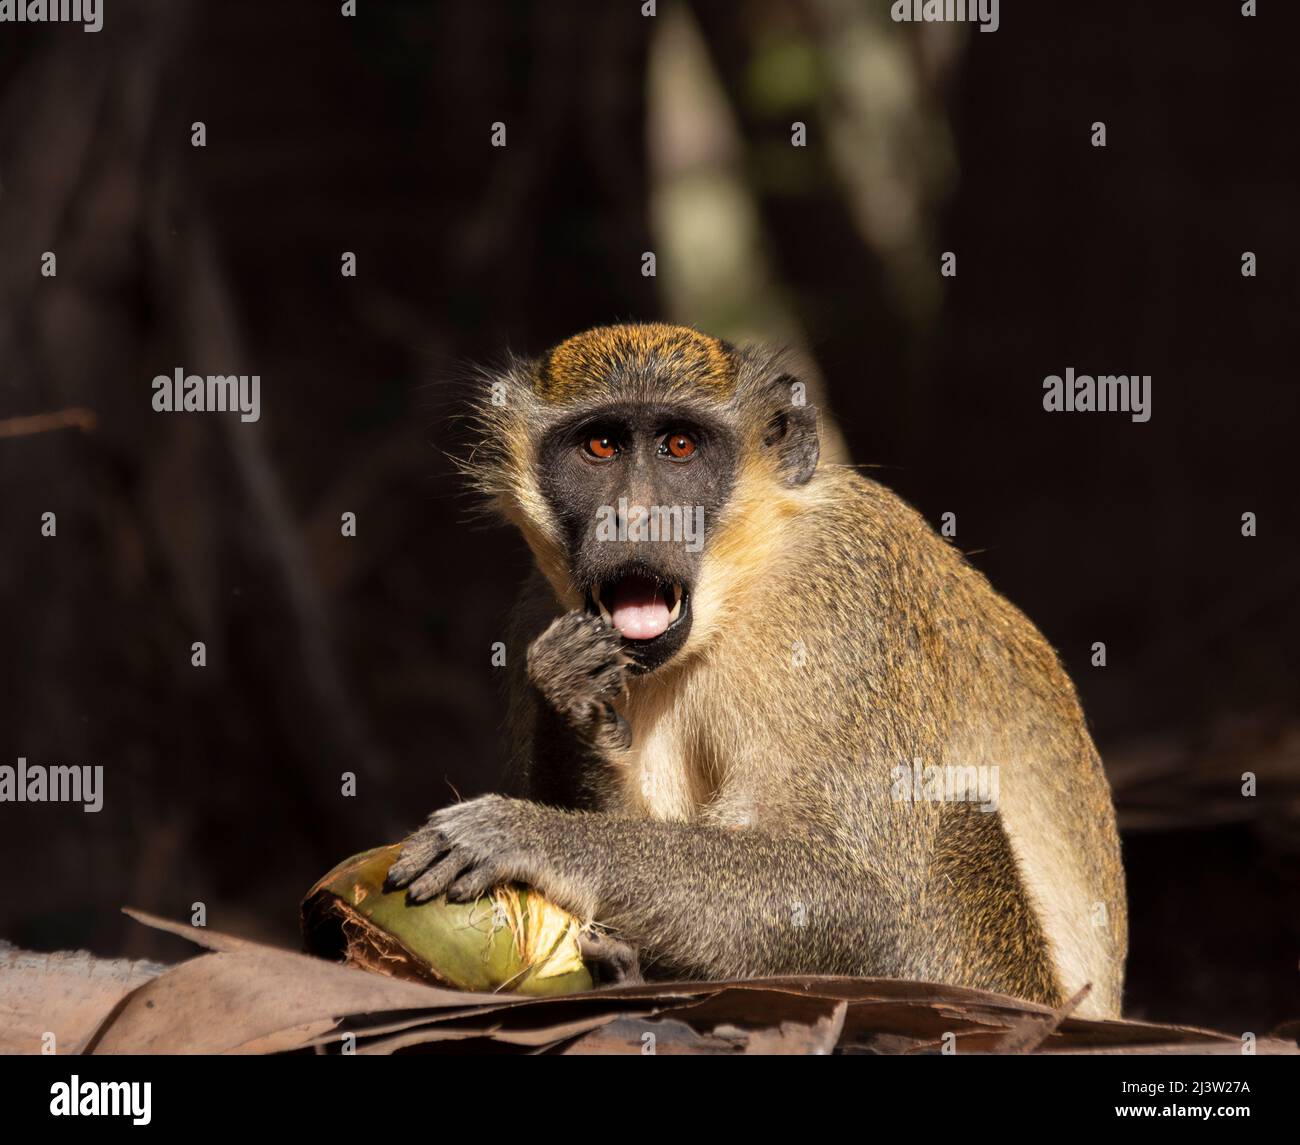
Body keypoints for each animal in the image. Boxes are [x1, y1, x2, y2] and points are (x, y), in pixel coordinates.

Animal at [387, 322, 1128, 1018]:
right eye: (599, 447)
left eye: (679, 446)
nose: (635, 517)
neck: (741, 585)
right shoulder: (538, 609)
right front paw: (565, 698)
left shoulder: (844, 604)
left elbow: (860, 895)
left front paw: (535, 835)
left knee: (958, 825)